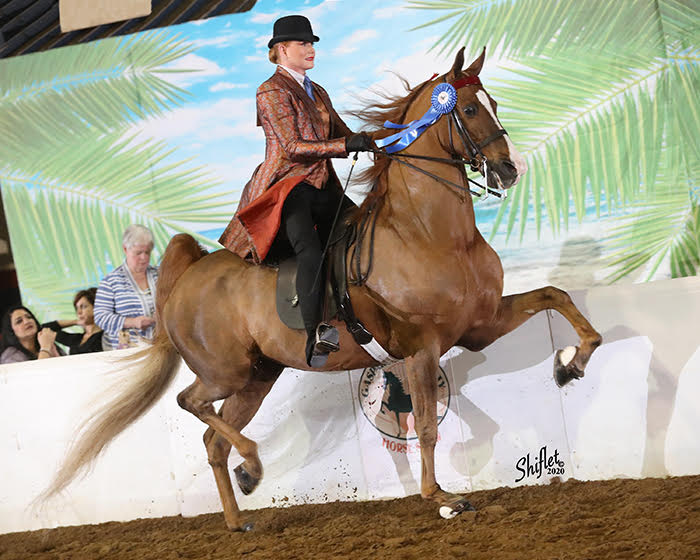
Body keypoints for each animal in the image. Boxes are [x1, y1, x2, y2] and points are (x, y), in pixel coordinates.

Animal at [44, 48, 602, 531]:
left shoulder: (480, 326)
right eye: (466, 108)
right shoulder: (420, 348)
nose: (510, 170)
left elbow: (556, 295)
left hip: (257, 377)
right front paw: (441, 498)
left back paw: (238, 514)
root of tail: (190, 272)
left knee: (211, 438)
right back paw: (252, 465)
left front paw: (570, 365)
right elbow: (426, 426)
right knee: (190, 402)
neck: (429, 233)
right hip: (226, 372)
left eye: (495, 105)